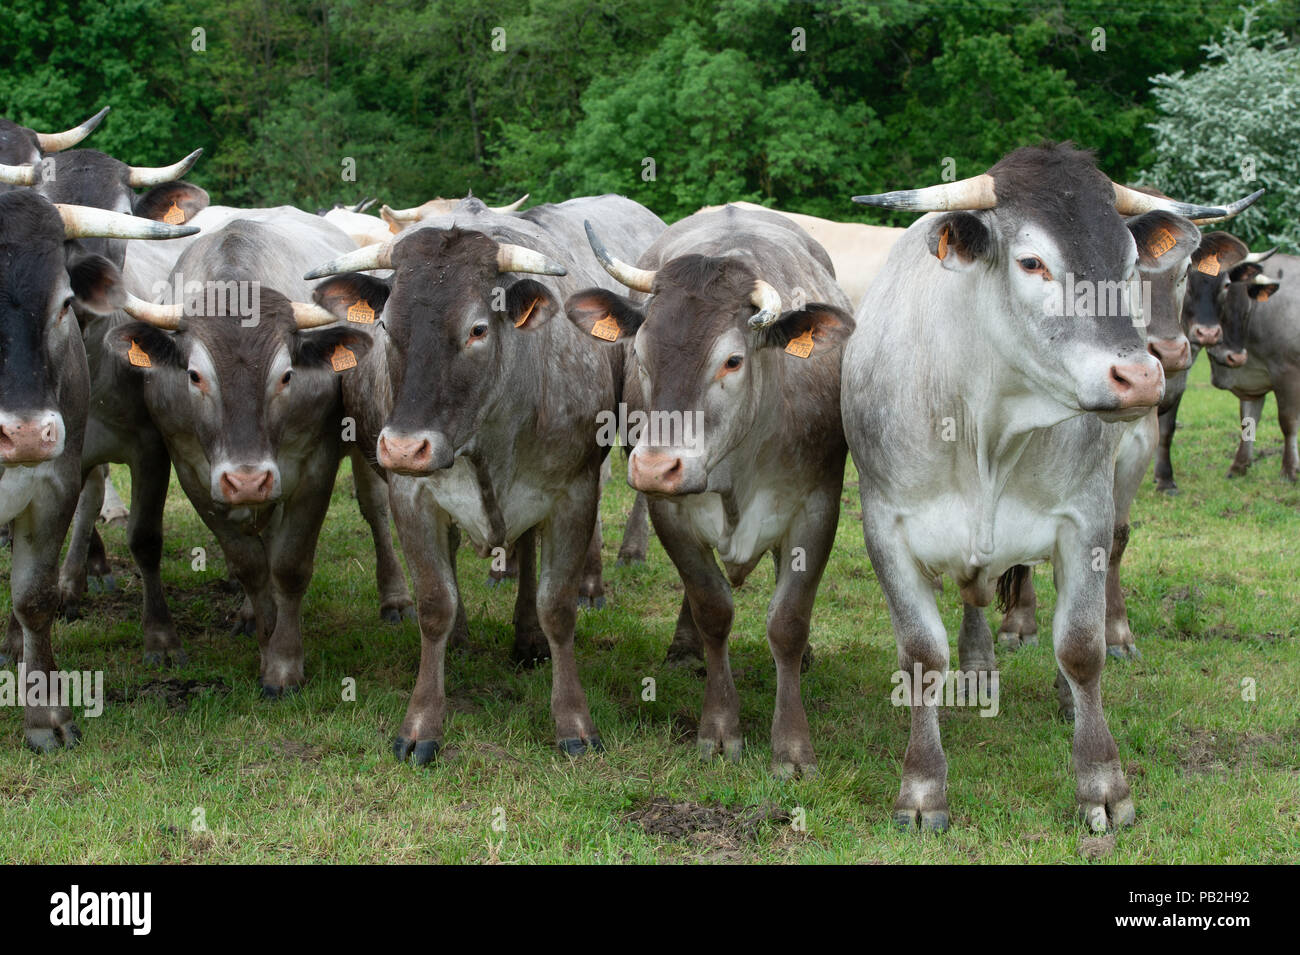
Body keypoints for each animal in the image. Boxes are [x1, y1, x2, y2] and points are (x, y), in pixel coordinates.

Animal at [109, 214, 381, 695]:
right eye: (194, 375)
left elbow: (290, 565)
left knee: (377, 512)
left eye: (286, 375)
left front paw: (284, 665)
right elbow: (250, 564)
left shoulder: (317, 465)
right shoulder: (193, 471)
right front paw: (265, 639)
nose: (248, 480)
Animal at [305, 194, 665, 762]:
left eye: (477, 329)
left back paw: (527, 639)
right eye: (384, 327)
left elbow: (557, 606)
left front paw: (574, 722)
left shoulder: (573, 492)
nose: (404, 446)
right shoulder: (411, 493)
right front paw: (421, 725)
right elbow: (435, 602)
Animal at [572, 207, 854, 776]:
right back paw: (685, 649)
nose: (656, 466)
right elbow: (712, 608)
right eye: (639, 353)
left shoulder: (817, 508)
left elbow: (788, 621)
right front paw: (720, 730)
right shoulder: (671, 514)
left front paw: (793, 748)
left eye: (732, 361)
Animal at [842, 143, 1231, 831]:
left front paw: (1102, 783)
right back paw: (976, 664)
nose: (1140, 376)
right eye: (1032, 263)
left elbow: (1080, 647)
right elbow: (920, 657)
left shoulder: (1086, 519)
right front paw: (922, 789)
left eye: (1129, 264)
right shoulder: (884, 525)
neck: (988, 429)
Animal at [1205, 258, 1292, 479]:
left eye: (1245, 313)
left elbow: (1287, 422)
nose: (1235, 357)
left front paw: (1289, 470)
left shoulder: (1287, 372)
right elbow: (1248, 420)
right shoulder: (1253, 382)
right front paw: (1239, 466)